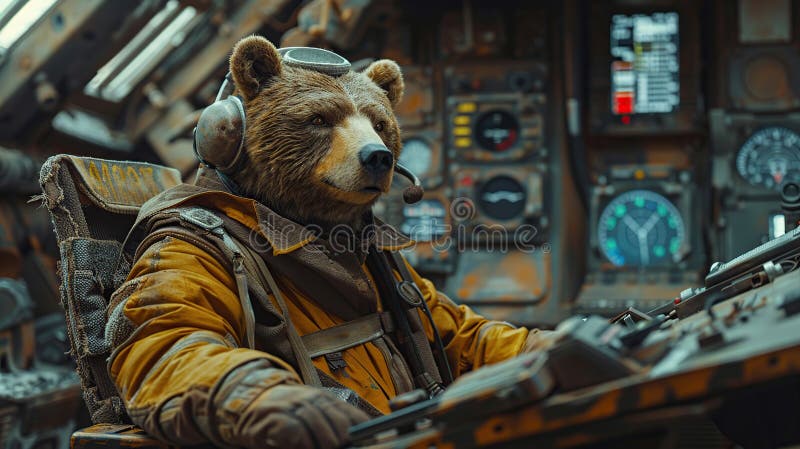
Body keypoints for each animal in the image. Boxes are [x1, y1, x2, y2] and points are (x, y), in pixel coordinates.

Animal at [106, 35, 550, 449]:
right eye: (319, 118)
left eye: (379, 122)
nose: (378, 156)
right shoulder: (185, 245)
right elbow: (172, 334)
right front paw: (291, 407)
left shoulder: (405, 274)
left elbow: (457, 326)